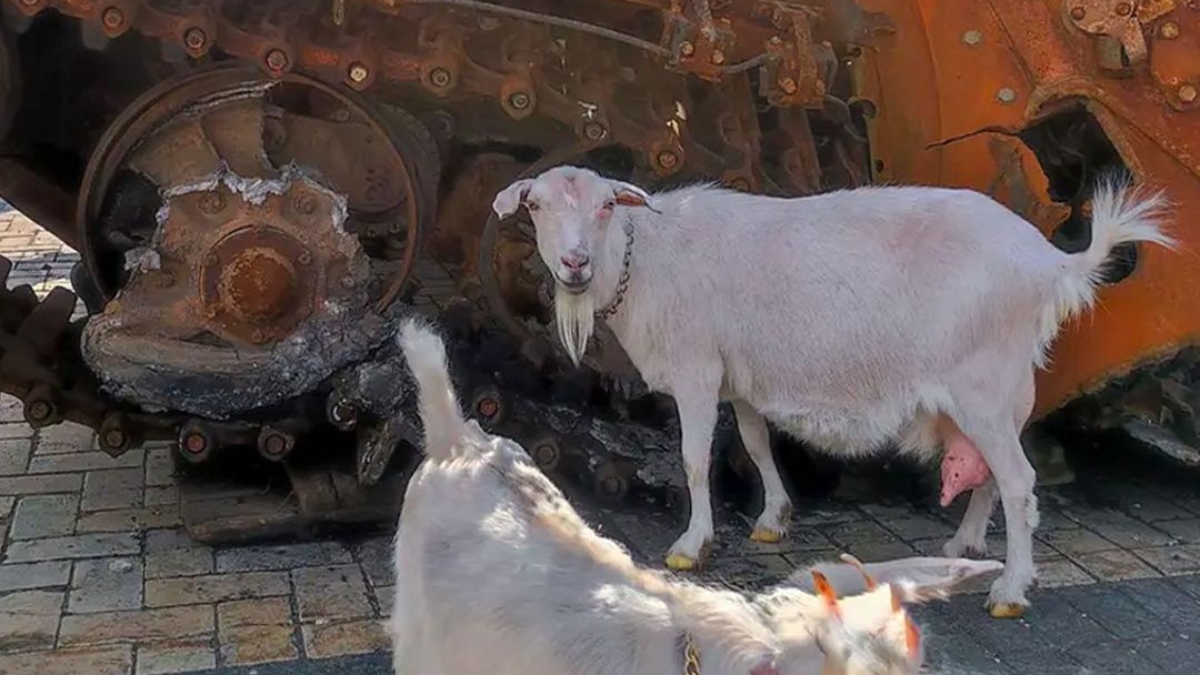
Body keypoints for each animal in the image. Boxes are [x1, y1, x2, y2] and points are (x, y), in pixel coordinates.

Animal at [491, 166, 1173, 617]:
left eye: (608, 206)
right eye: (537, 207)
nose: (575, 262)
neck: (647, 256)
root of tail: (1050, 264)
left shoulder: (696, 369)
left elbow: (693, 459)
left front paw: (691, 546)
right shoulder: (739, 377)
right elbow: (755, 442)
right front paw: (773, 519)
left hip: (983, 380)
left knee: (1019, 479)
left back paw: (1010, 590)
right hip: (995, 389)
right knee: (991, 472)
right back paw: (965, 544)